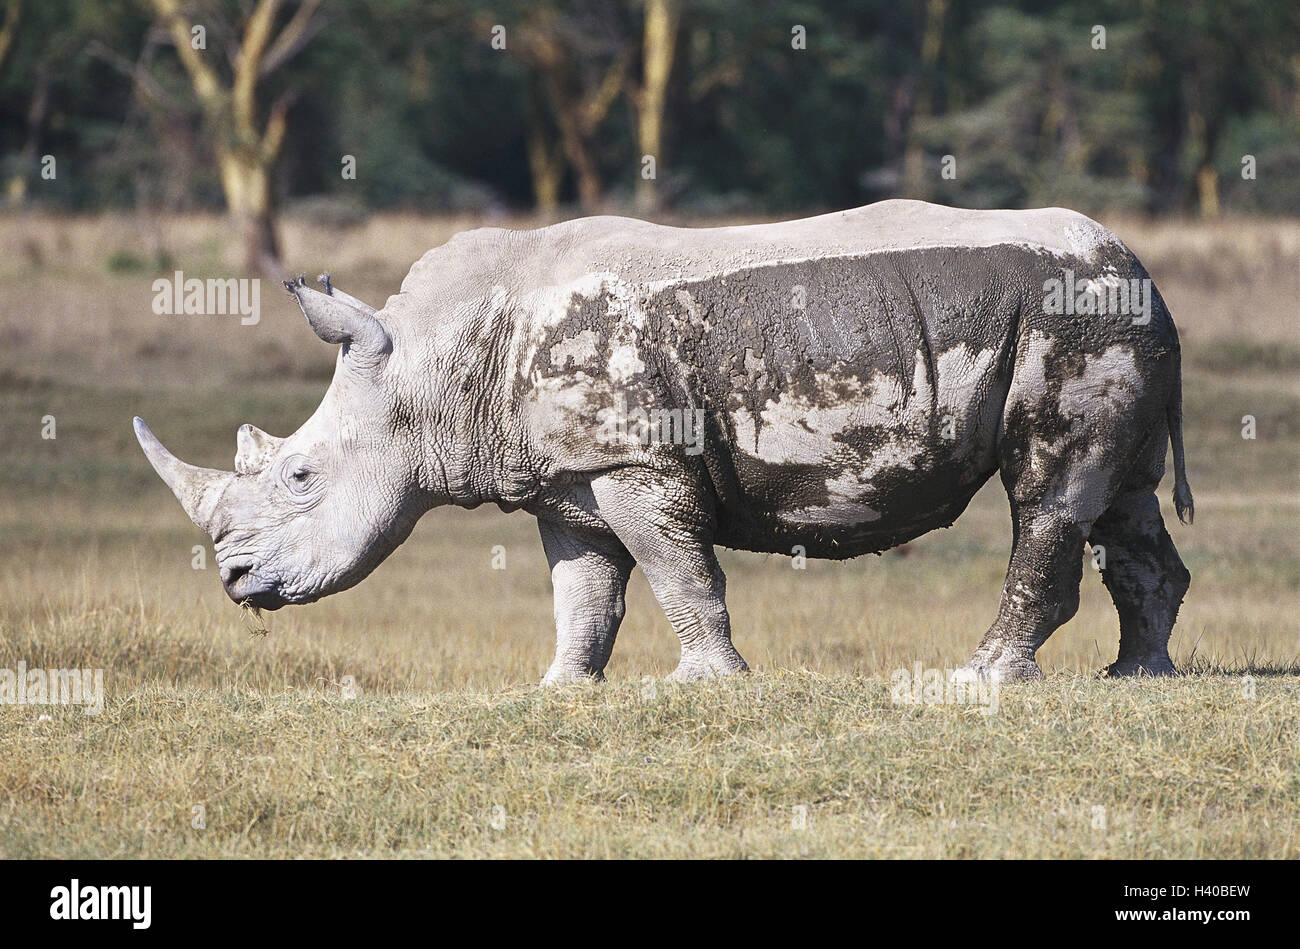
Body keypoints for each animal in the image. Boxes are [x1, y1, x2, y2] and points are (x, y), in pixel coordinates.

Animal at [134, 199, 1194, 684]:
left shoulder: (634, 462)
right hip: (1105, 323)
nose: (234, 581)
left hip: (1071, 323)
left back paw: (978, 680)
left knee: (1050, 490)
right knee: (1123, 500)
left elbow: (679, 569)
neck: (435, 365)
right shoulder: (567, 476)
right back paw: (1136, 676)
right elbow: (584, 590)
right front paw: (559, 689)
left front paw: (707, 684)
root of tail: (1143, 270)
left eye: (301, 474)